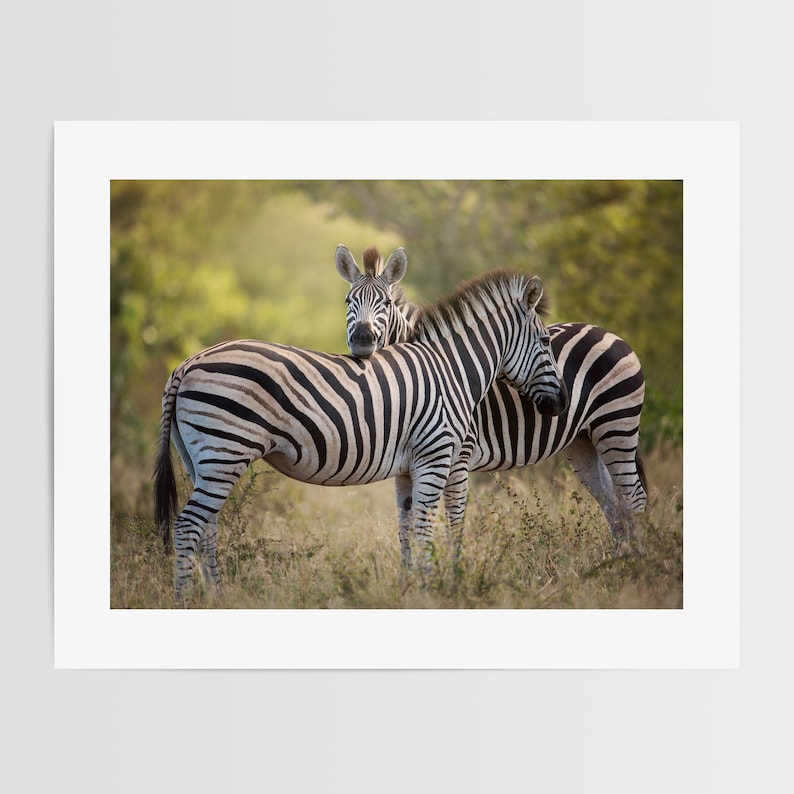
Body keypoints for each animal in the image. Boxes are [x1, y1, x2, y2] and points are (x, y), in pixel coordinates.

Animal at [154, 268, 568, 599]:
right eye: (546, 342)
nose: (561, 402)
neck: (451, 369)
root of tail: (186, 364)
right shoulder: (435, 456)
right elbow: (424, 530)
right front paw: (430, 589)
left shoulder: (409, 467)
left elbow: (407, 530)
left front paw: (410, 589)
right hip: (225, 451)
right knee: (189, 526)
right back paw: (186, 601)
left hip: (202, 459)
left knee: (207, 528)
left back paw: (217, 597)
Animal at [336, 245, 648, 547]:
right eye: (348, 302)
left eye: (386, 303)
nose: (362, 339)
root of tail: (610, 334)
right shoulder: (407, 463)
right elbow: (407, 531)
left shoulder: (457, 458)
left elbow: (453, 527)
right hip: (584, 439)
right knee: (614, 504)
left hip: (616, 425)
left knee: (634, 499)